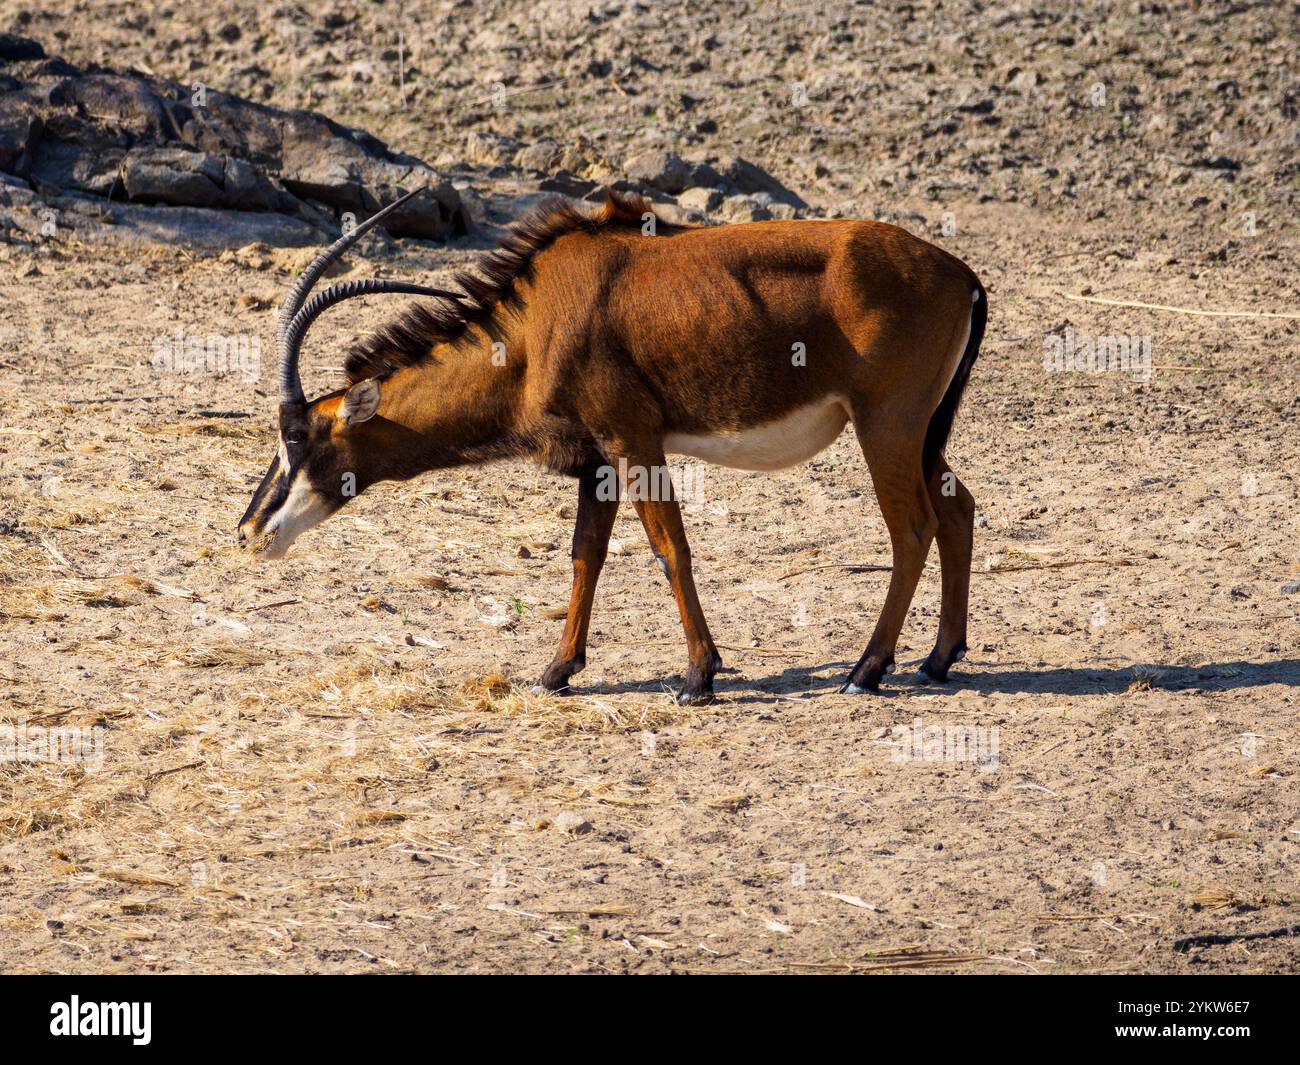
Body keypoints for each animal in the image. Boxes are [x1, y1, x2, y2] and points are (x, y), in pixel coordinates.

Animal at [238, 187, 987, 704]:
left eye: (300, 435)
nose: (249, 533)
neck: (534, 325)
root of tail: (962, 276)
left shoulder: (632, 440)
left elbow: (668, 548)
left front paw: (698, 677)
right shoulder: (595, 460)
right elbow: (585, 555)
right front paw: (557, 669)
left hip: (885, 424)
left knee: (912, 526)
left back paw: (868, 669)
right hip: (919, 431)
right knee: (958, 509)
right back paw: (938, 658)